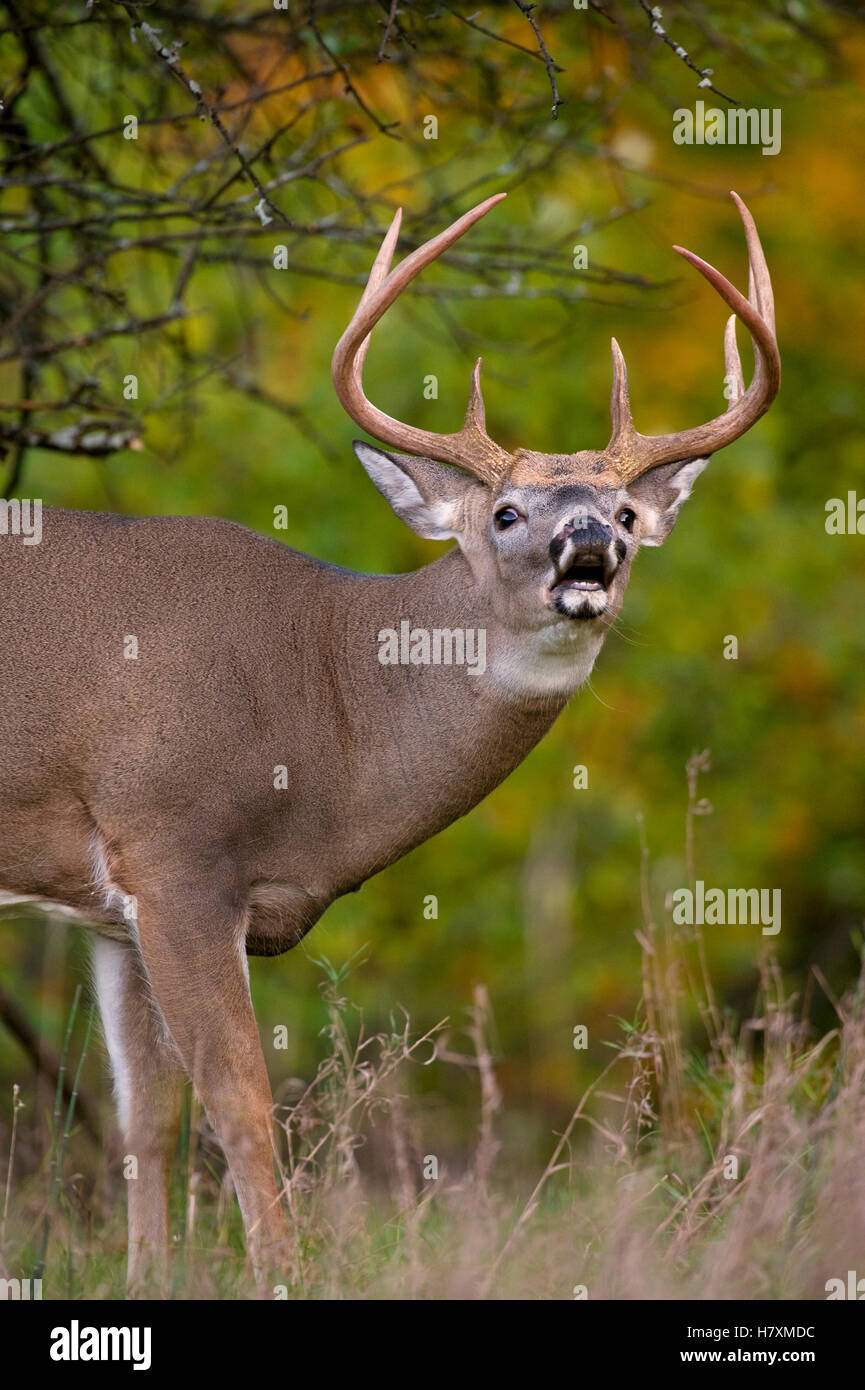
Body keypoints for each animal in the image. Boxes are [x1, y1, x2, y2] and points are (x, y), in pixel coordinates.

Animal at [0, 189, 779, 1294]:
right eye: (506, 512)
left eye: (628, 510)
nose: (588, 545)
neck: (324, 709)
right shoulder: (174, 846)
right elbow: (240, 1101)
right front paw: (280, 1270)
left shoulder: (111, 905)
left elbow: (143, 1117)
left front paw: (149, 1276)